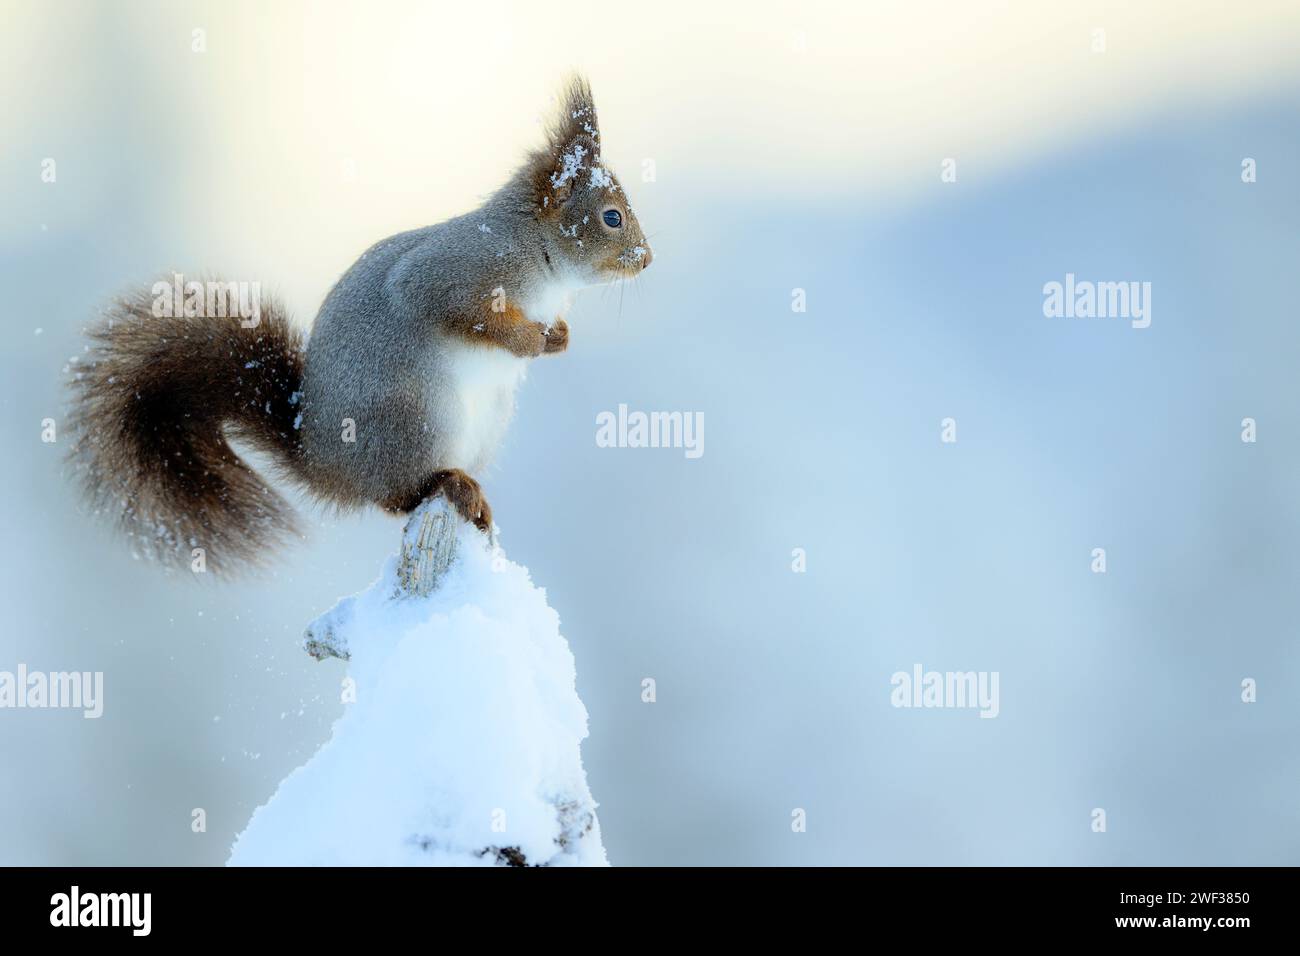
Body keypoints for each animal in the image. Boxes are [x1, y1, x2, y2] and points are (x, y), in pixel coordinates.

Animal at [67, 76, 652, 574]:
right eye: (612, 217)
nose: (646, 259)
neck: (540, 253)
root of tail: (325, 463)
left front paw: (560, 337)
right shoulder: (456, 272)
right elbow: (461, 311)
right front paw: (531, 339)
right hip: (414, 417)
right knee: (398, 496)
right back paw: (453, 486)